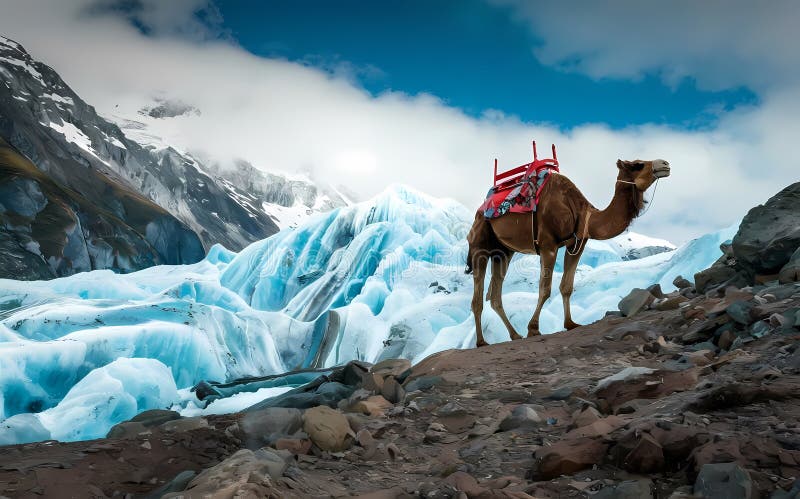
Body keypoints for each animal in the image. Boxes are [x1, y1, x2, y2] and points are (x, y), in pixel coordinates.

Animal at [466, 158, 671, 347]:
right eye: (637, 164)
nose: (665, 164)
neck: (582, 213)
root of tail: (481, 208)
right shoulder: (548, 244)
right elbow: (545, 289)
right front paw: (533, 328)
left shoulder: (576, 244)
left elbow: (566, 286)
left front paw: (570, 323)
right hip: (479, 244)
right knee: (478, 296)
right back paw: (482, 342)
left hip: (503, 252)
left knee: (495, 296)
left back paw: (515, 335)